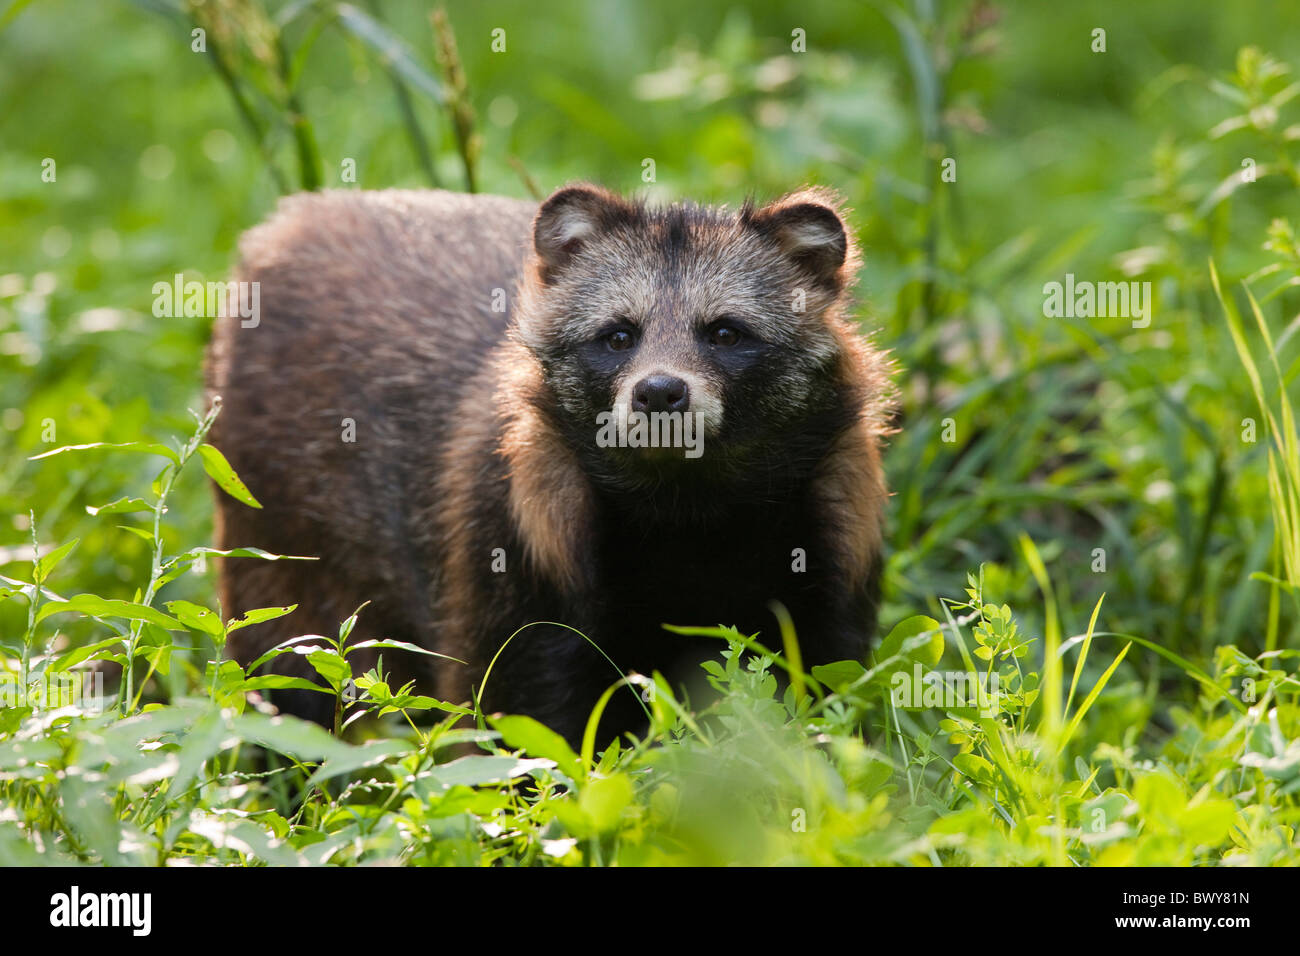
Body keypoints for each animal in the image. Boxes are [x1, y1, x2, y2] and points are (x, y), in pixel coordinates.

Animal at [206, 183, 894, 746]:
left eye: (726, 332)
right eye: (618, 335)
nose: (659, 392)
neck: (688, 507)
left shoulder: (832, 544)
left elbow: (822, 693)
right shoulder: (518, 561)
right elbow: (516, 725)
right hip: (276, 539)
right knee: (287, 676)